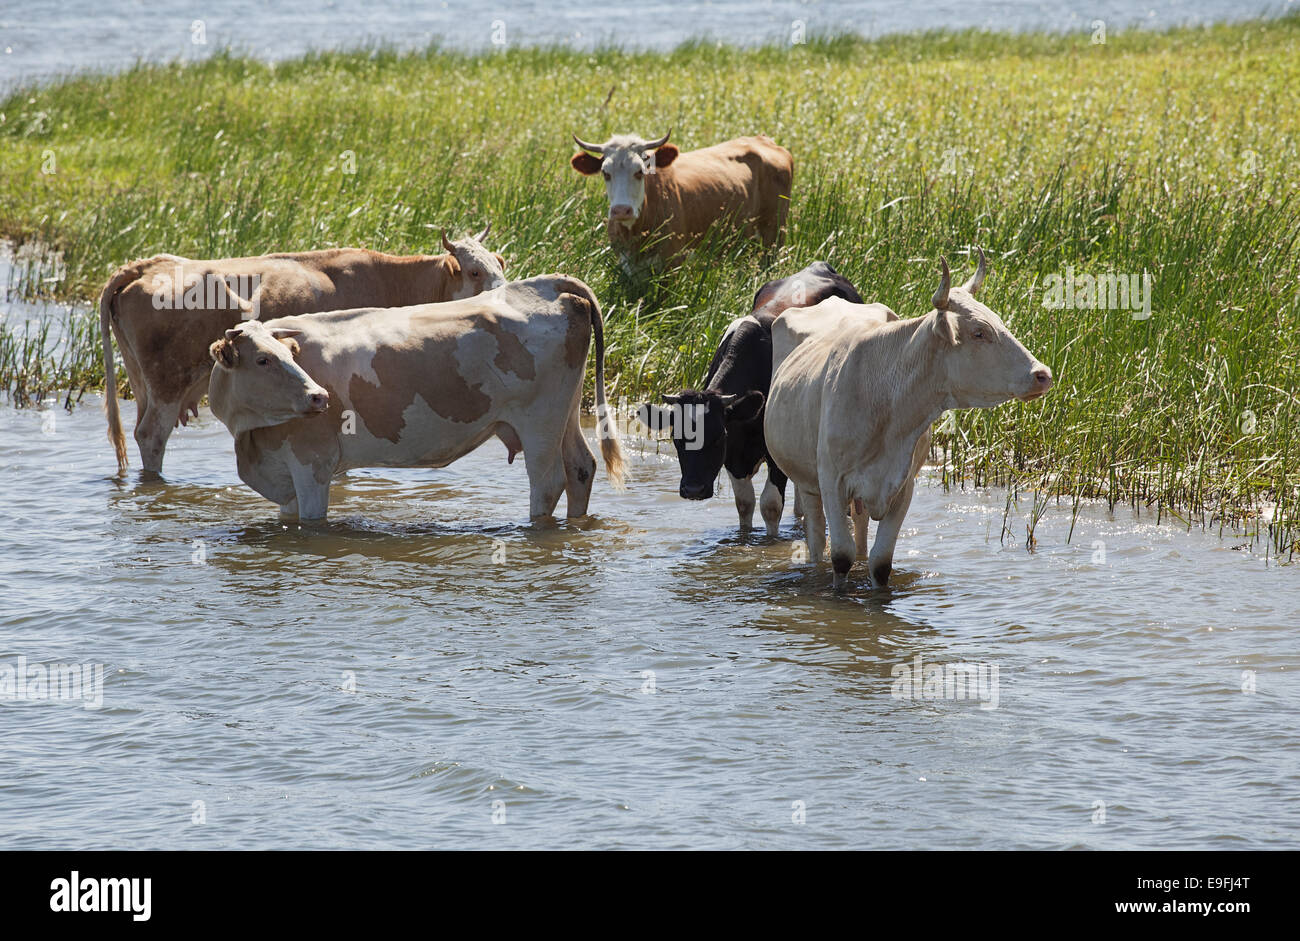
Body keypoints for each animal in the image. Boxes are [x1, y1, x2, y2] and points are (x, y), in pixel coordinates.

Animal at [99, 226, 506, 477]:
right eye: (473, 271)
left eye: (501, 263)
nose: (505, 292)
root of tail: (148, 264)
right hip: (168, 381)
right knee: (152, 434)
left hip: (142, 382)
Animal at [206, 275, 626, 523]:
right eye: (263, 359)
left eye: (289, 356)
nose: (318, 396)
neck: (251, 438)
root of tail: (549, 285)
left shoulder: (313, 464)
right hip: (566, 413)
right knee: (581, 467)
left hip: (540, 420)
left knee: (548, 481)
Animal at [636, 262, 863, 537]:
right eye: (676, 439)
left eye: (717, 437)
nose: (693, 490)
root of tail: (819, 265)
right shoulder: (735, 456)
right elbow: (744, 503)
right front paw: (744, 539)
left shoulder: (775, 451)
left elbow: (771, 506)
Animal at [765, 250, 1054, 590]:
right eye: (979, 332)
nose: (1042, 374)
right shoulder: (832, 481)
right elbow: (840, 556)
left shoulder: (903, 487)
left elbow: (879, 563)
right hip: (806, 482)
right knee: (816, 541)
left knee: (860, 535)